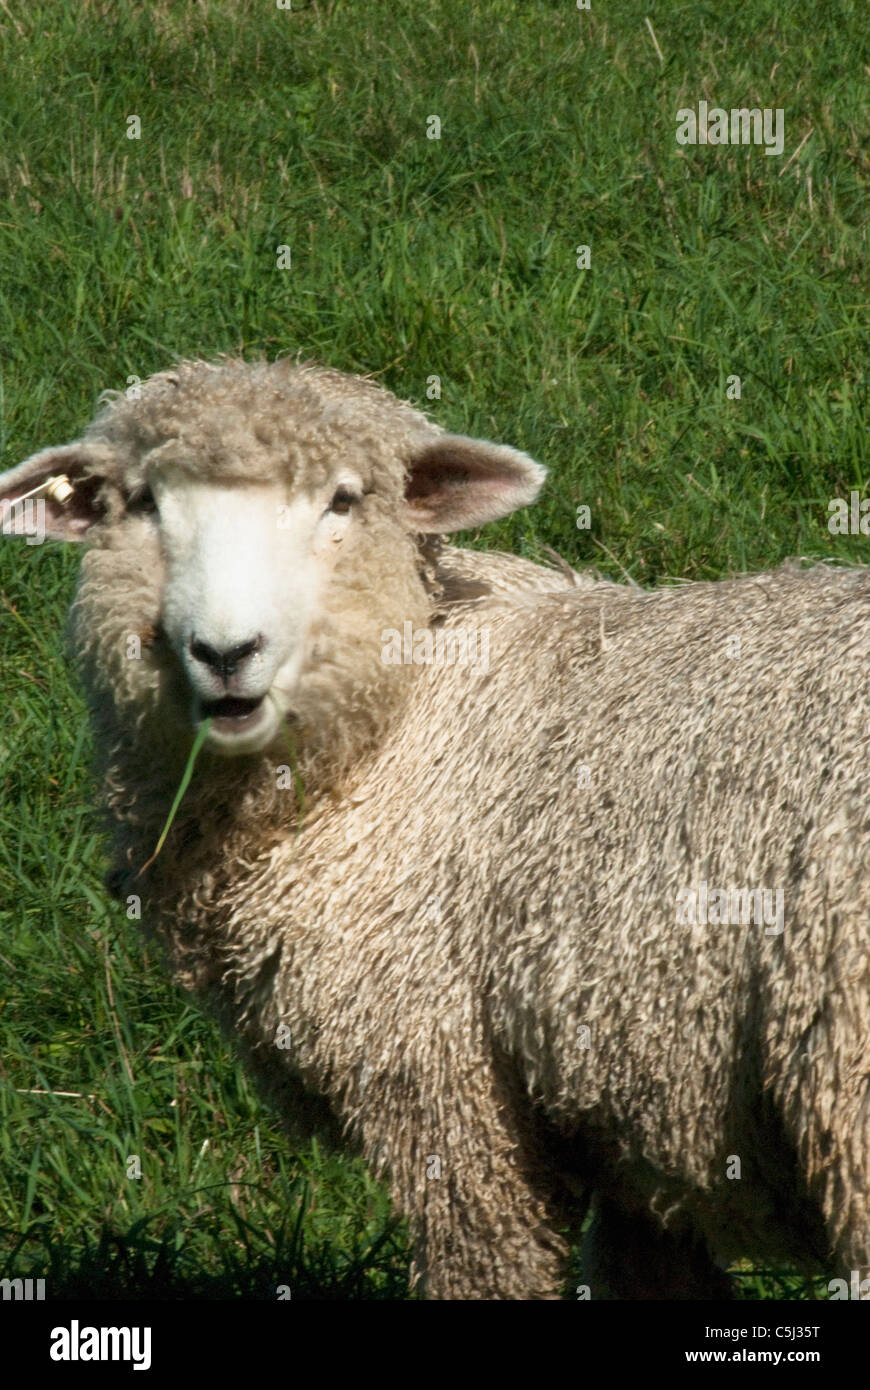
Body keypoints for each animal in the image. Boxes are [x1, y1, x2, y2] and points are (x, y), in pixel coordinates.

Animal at [2, 357, 867, 1300]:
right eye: (144, 504)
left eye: (343, 500)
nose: (227, 653)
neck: (404, 719)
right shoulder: (629, 1137)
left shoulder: (444, 1085)